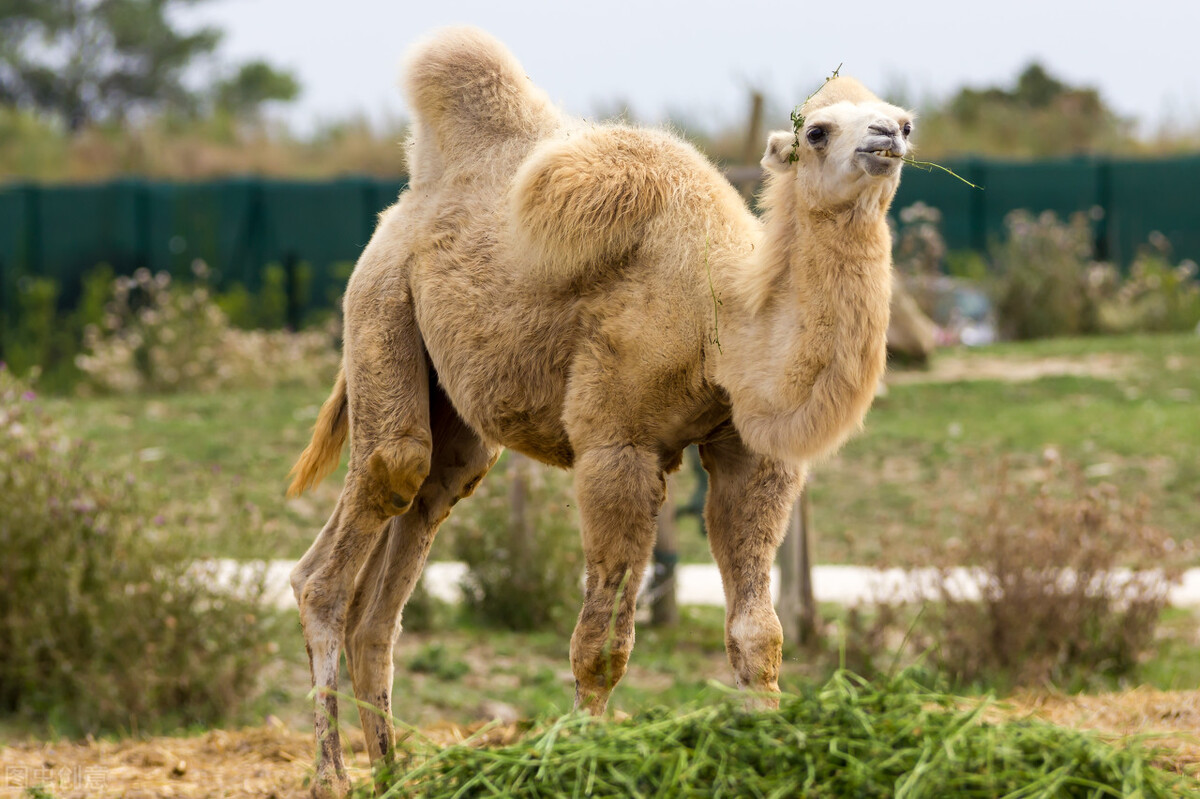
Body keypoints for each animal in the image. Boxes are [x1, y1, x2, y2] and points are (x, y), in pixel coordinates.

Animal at [286, 27, 912, 797]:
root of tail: (397, 215)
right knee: (350, 535)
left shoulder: (749, 454)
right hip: (379, 309)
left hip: (457, 429)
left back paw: (401, 773)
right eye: (817, 131)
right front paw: (584, 761)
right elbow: (601, 646)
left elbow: (758, 634)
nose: (887, 137)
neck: (723, 317)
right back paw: (333, 776)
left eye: (903, 118)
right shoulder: (618, 445)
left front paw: (766, 754)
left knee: (391, 581)